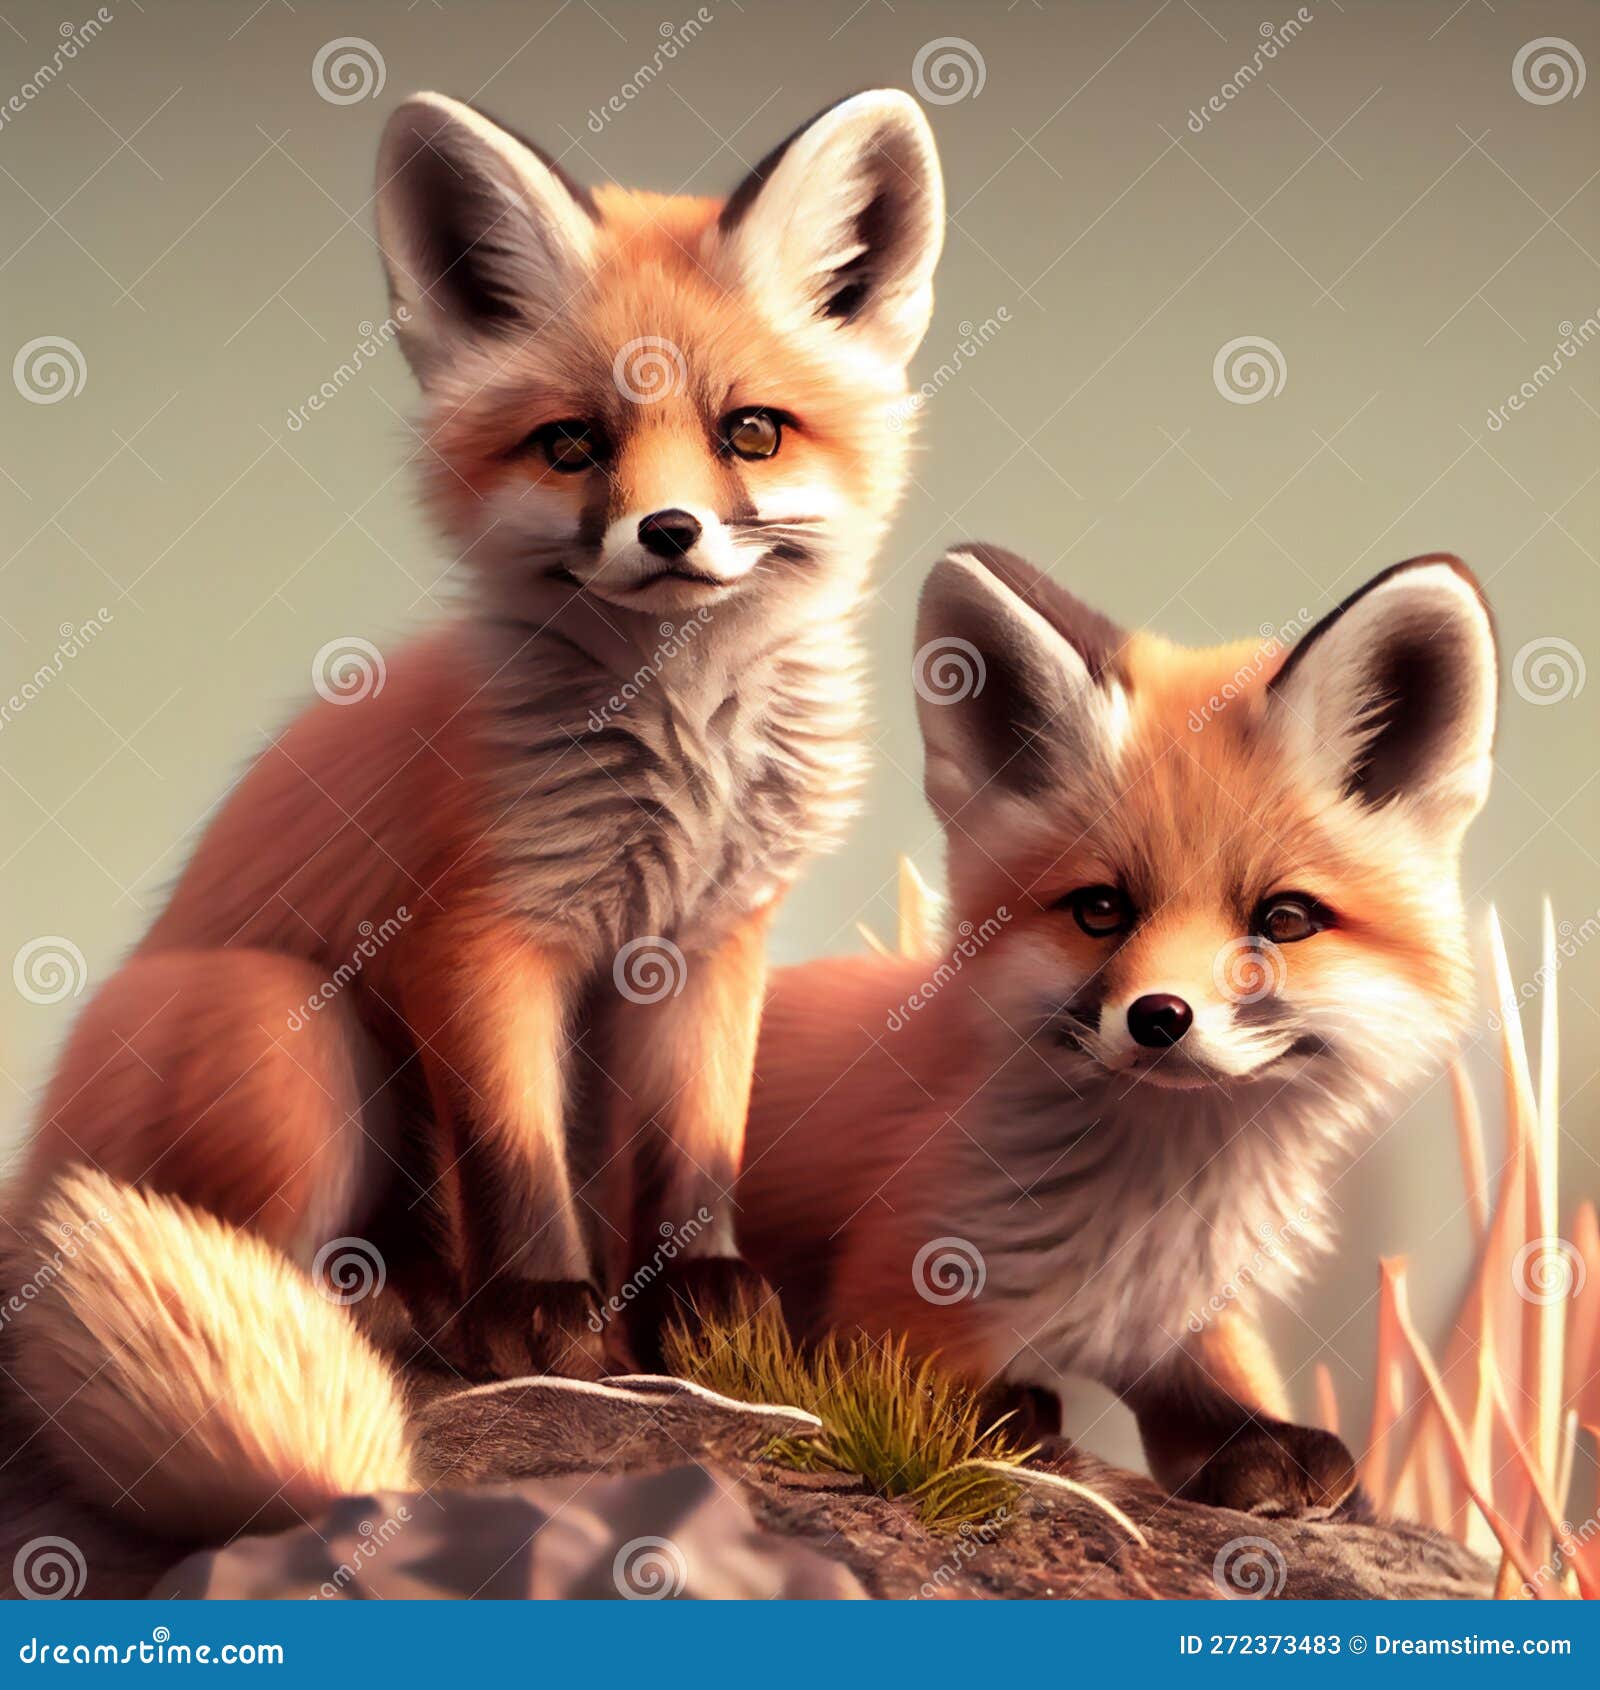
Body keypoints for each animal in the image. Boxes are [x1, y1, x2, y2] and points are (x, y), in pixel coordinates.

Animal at [8, 84, 945, 1420]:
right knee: (220, 1273)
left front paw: (694, 1306)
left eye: (750, 433)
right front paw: (540, 1312)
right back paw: (396, 1312)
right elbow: (515, 1153)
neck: (681, 761)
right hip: (288, 1027)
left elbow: (694, 1153)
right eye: (572, 445)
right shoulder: (479, 932)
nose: (668, 531)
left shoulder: (706, 941)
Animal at [739, 543, 1499, 1518]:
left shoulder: (1186, 1318)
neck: (1148, 1217)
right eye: (1101, 909)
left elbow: (1237, 1404)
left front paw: (1267, 1452)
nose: (1160, 1017)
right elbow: (911, 1388)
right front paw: (1011, 1418)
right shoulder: (891, 1284)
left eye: (1284, 920)